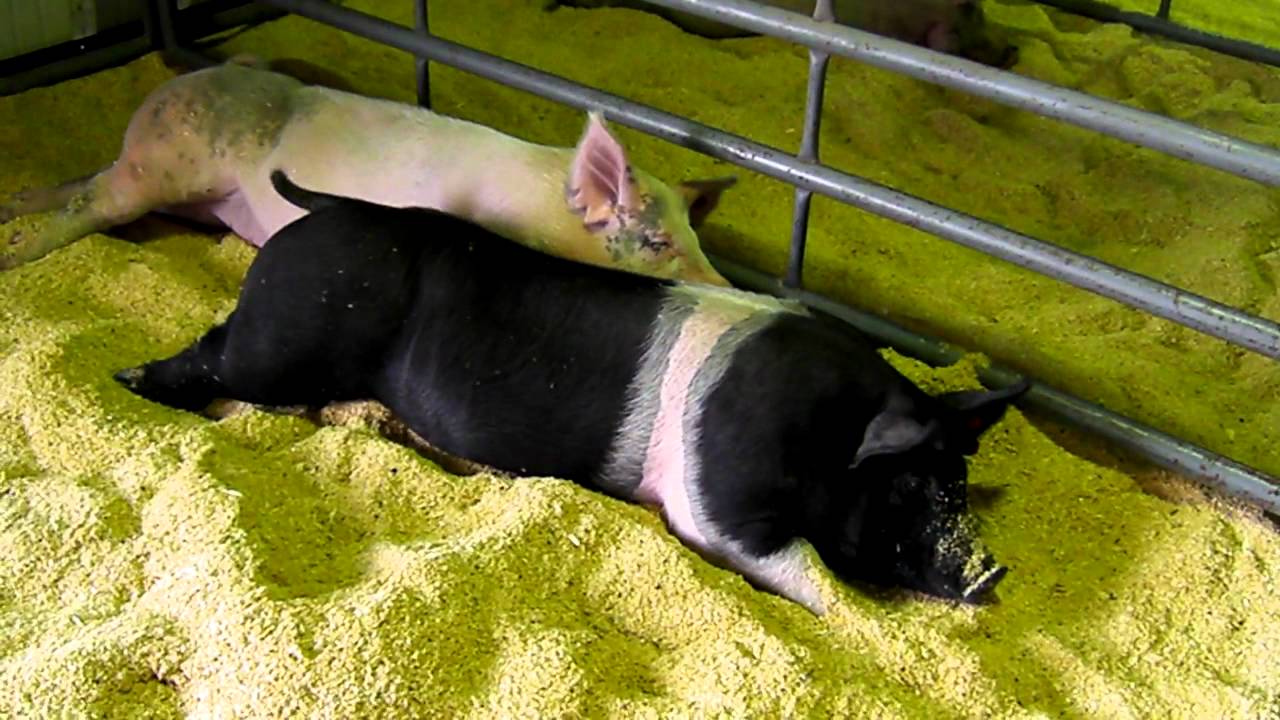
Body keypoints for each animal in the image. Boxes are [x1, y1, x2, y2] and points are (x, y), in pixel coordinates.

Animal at [0, 58, 734, 285]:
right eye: (657, 243)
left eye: (696, 240)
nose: (728, 288)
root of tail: (156, 95)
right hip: (167, 165)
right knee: (92, 202)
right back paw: (16, 254)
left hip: (178, 189)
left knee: (82, 183)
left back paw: (15, 207)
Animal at [114, 171, 1029, 614]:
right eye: (905, 484)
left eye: (958, 481)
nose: (993, 574)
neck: (831, 435)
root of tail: (325, 209)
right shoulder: (718, 505)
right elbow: (818, 586)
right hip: (282, 338)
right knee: (210, 358)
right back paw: (126, 382)